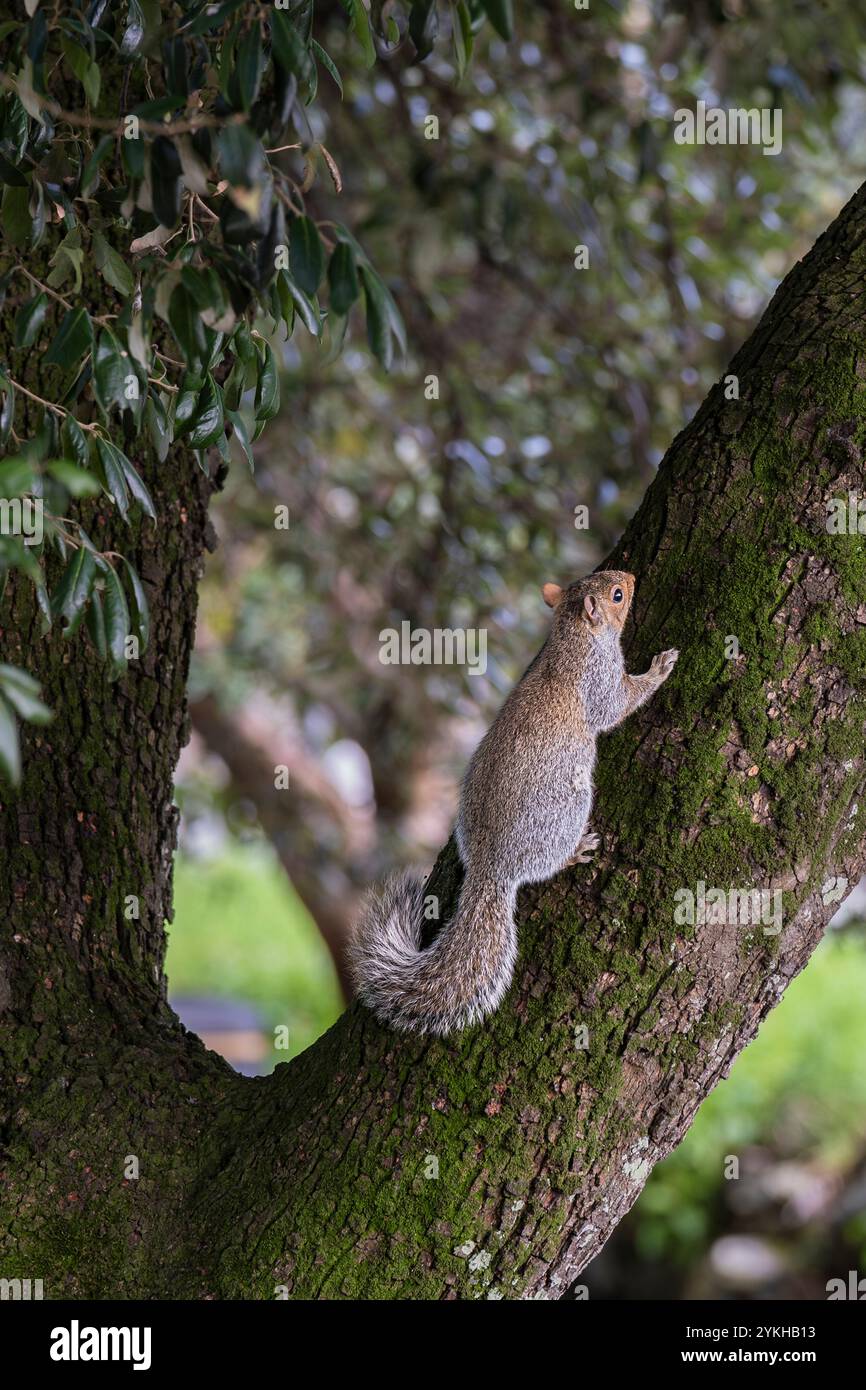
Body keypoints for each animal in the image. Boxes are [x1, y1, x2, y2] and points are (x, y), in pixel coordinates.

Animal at [348, 570, 678, 1037]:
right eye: (617, 596)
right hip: (565, 812)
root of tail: (491, 868)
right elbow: (619, 705)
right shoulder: (598, 682)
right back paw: (576, 850)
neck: (570, 639)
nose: (631, 577)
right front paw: (659, 670)